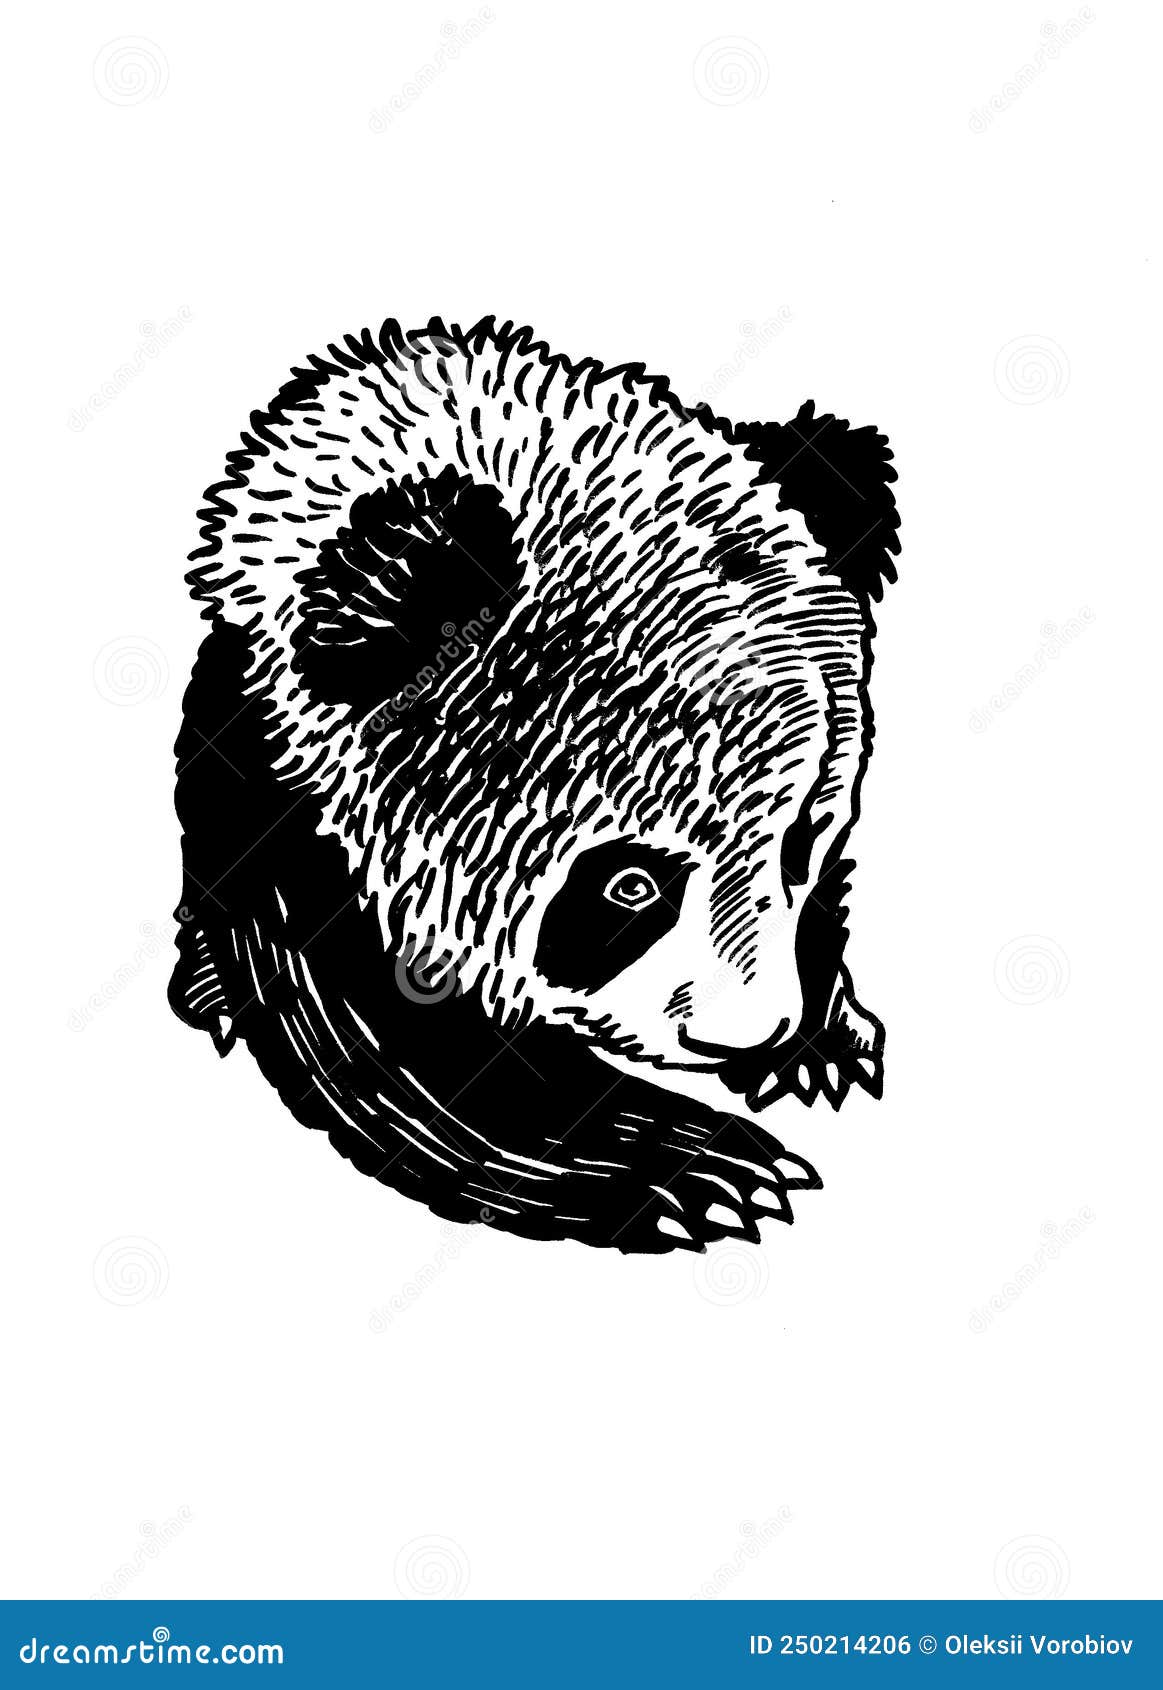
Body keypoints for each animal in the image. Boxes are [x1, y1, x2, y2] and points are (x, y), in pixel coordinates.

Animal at [170, 316, 899, 1254]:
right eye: (629, 886)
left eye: (802, 839)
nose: (741, 1036)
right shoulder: (278, 796)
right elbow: (404, 1052)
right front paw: (698, 1170)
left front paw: (821, 1049)